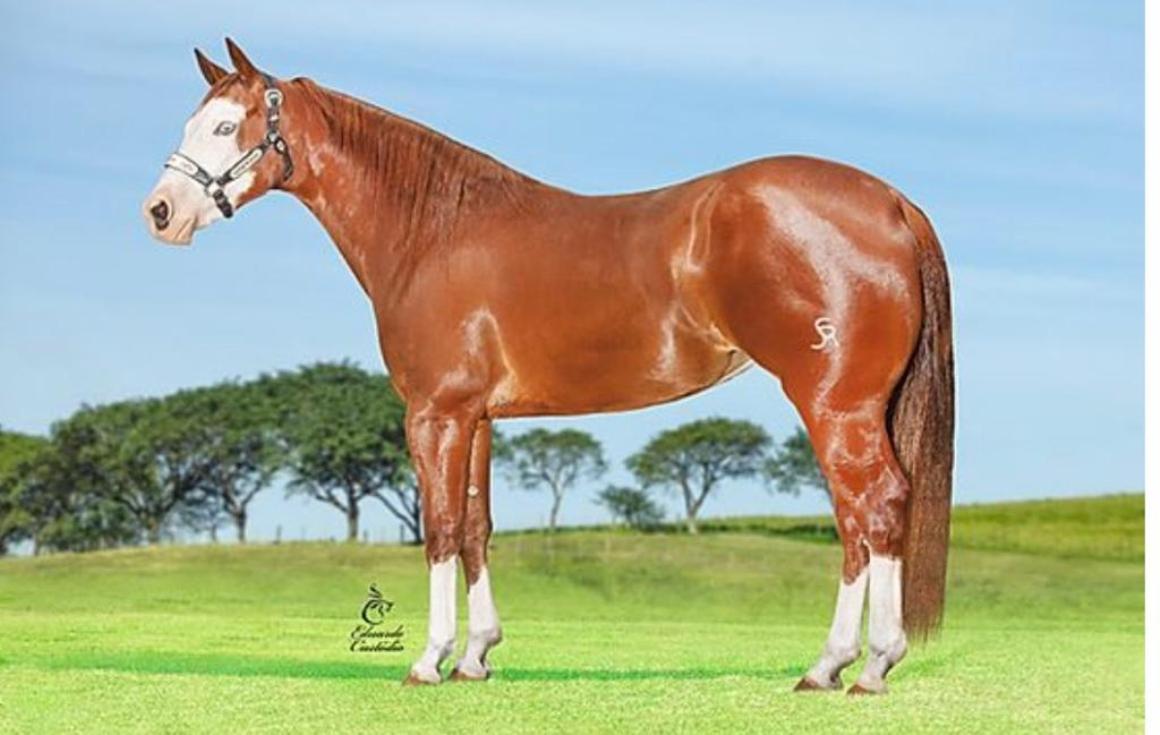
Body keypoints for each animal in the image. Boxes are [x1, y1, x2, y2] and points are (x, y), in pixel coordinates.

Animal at [143, 40, 954, 695]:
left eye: (226, 127)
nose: (160, 212)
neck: (434, 231)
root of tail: (890, 202)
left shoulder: (433, 412)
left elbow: (439, 527)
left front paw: (428, 661)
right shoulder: (477, 417)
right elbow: (476, 527)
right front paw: (476, 657)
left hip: (833, 404)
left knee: (871, 508)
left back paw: (857, 665)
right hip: (861, 408)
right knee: (866, 516)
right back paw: (845, 665)